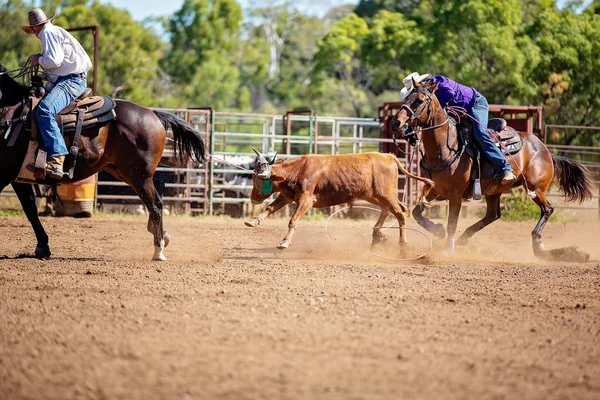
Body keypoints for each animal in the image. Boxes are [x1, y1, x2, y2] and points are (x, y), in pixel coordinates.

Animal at [0, 64, 205, 260]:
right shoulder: (17, 178)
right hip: (127, 172)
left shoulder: (6, 173)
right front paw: (43, 247)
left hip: (139, 175)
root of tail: (153, 114)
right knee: (158, 199)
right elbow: (30, 210)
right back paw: (161, 237)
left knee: (155, 205)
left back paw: (158, 250)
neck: (12, 114)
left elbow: (29, 210)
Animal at [246, 150, 434, 250]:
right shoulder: (287, 196)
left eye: (259, 180)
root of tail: (388, 156)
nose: (252, 198)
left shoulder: (306, 200)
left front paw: (284, 242)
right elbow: (270, 208)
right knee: (388, 210)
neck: (299, 169)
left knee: (400, 212)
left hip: (386, 194)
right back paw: (376, 235)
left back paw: (403, 244)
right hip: (373, 195)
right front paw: (253, 221)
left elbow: (293, 221)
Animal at [390, 78, 596, 262]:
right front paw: (437, 230)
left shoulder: (455, 195)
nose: (396, 123)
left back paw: (539, 245)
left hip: (536, 188)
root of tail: (545, 150)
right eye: (406, 98)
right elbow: (417, 213)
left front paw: (448, 251)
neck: (447, 147)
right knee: (493, 215)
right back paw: (464, 238)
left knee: (548, 209)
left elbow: (451, 223)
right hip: (494, 191)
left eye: (419, 100)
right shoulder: (435, 190)